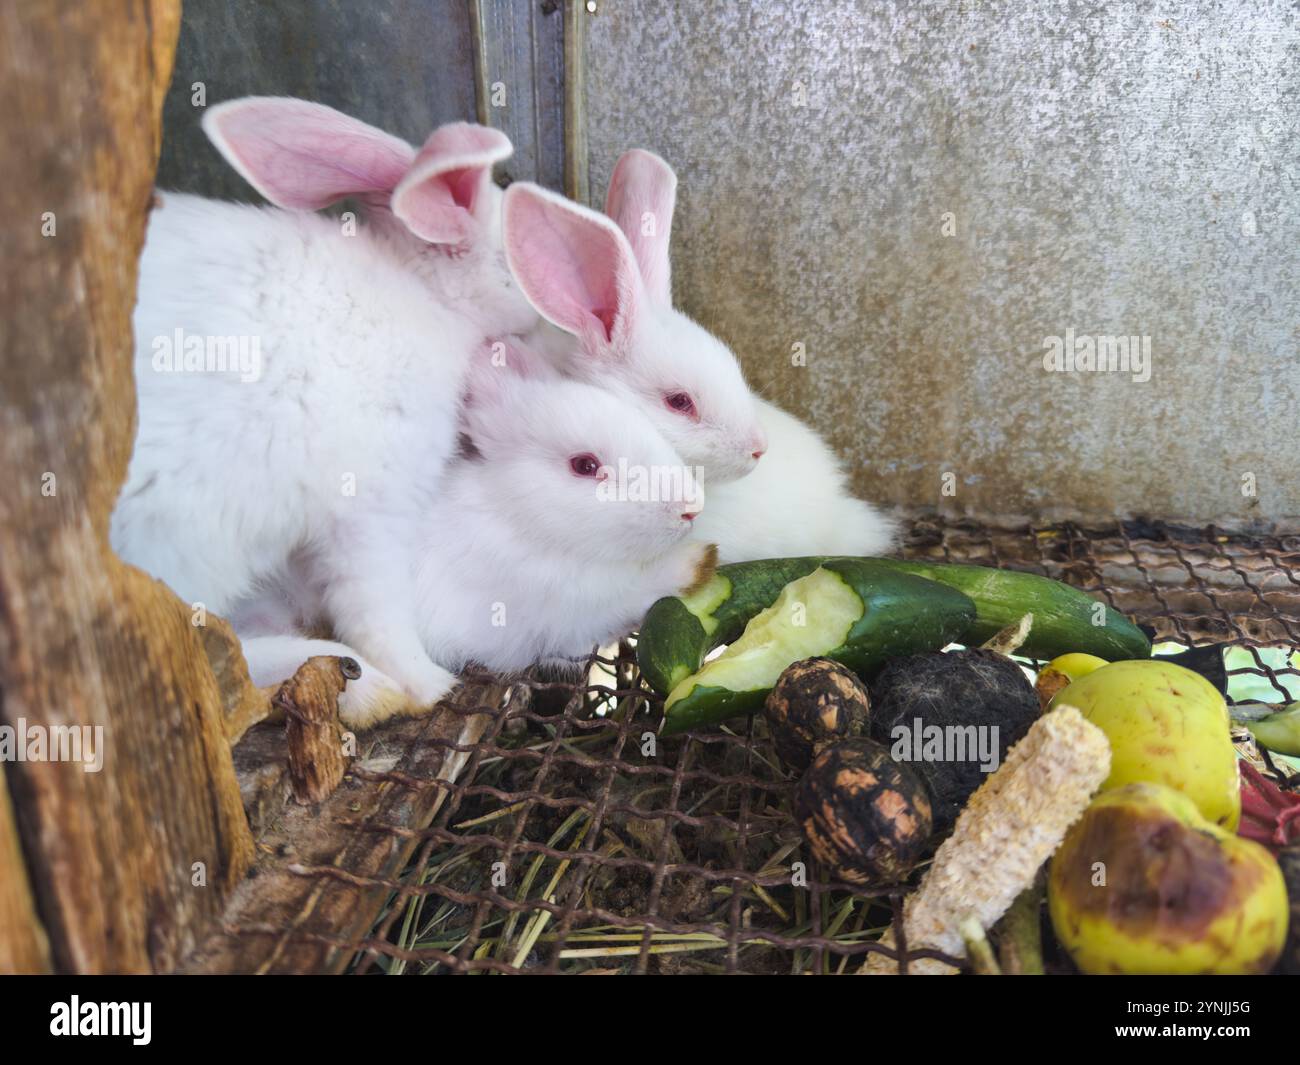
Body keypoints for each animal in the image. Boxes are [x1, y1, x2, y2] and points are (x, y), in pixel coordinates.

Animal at [232, 343, 717, 726]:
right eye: (585, 465)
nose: (691, 507)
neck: (515, 518)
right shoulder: (567, 606)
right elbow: (636, 589)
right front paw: (699, 560)